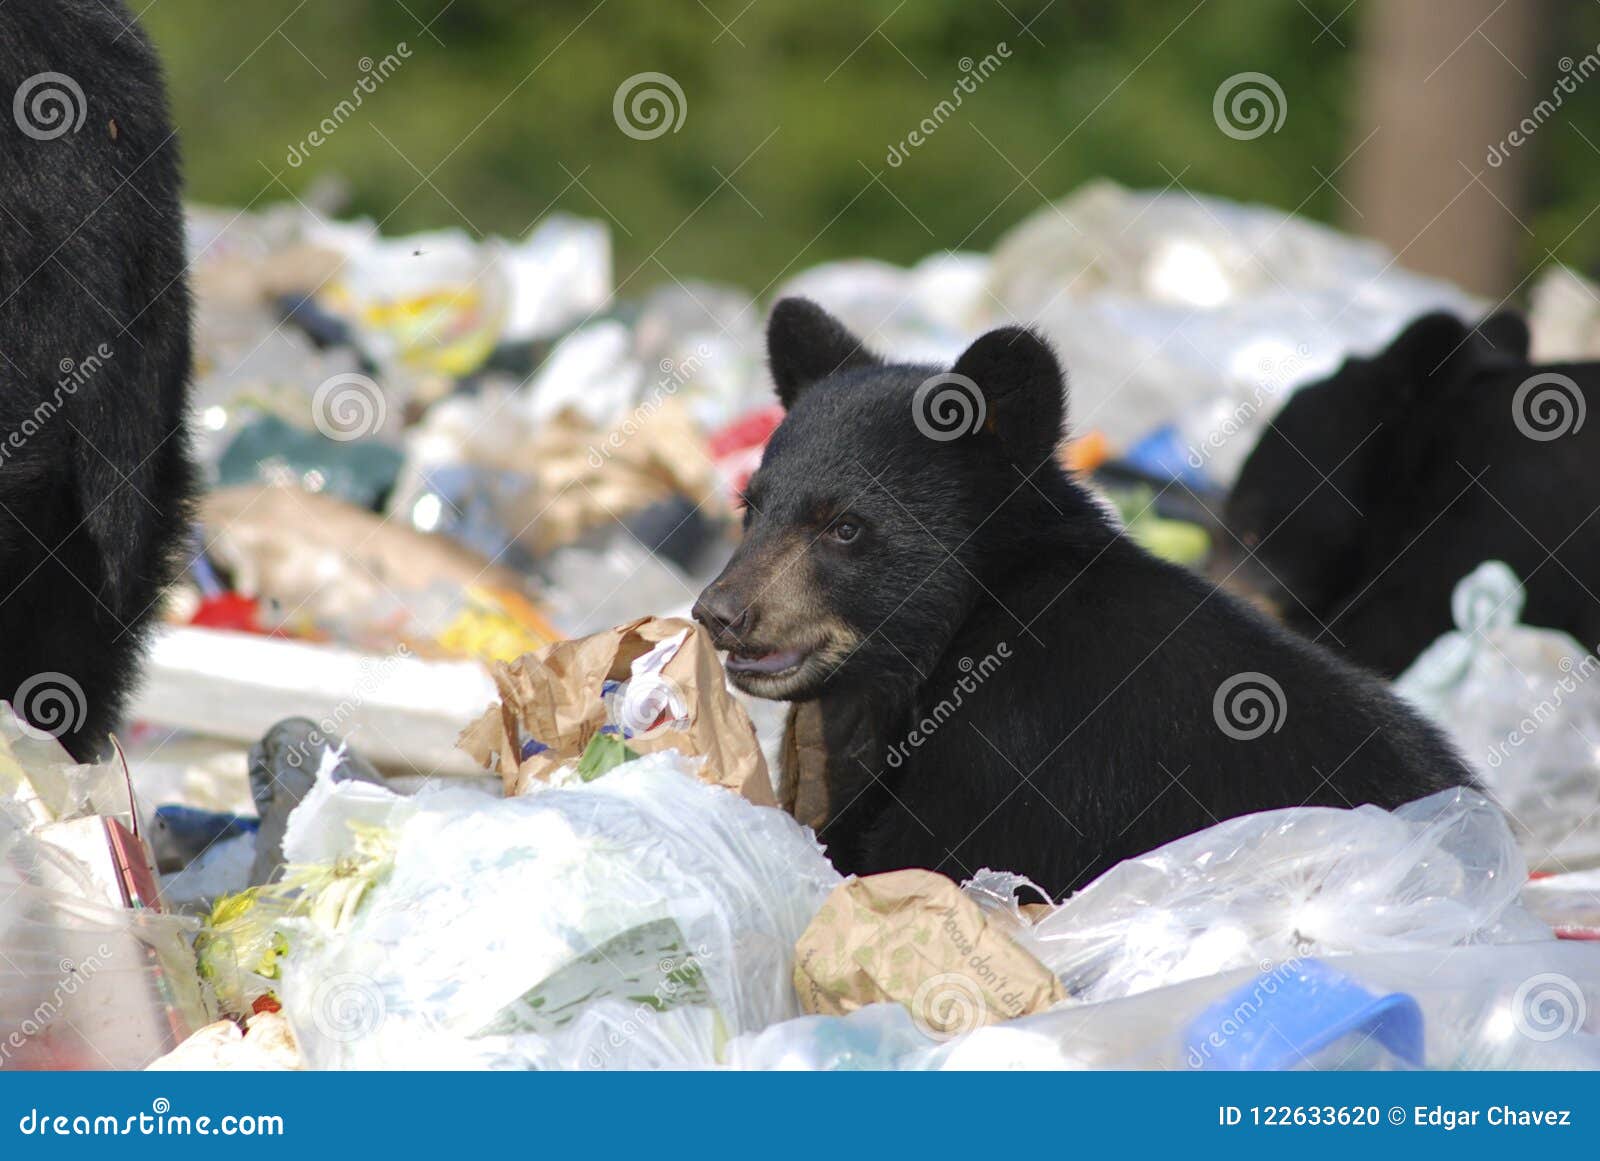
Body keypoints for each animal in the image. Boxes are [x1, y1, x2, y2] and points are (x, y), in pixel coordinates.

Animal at [692, 298, 1475, 899]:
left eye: (845, 526)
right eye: (750, 507)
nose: (719, 612)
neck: (973, 618)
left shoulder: (1022, 752)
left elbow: (933, 856)